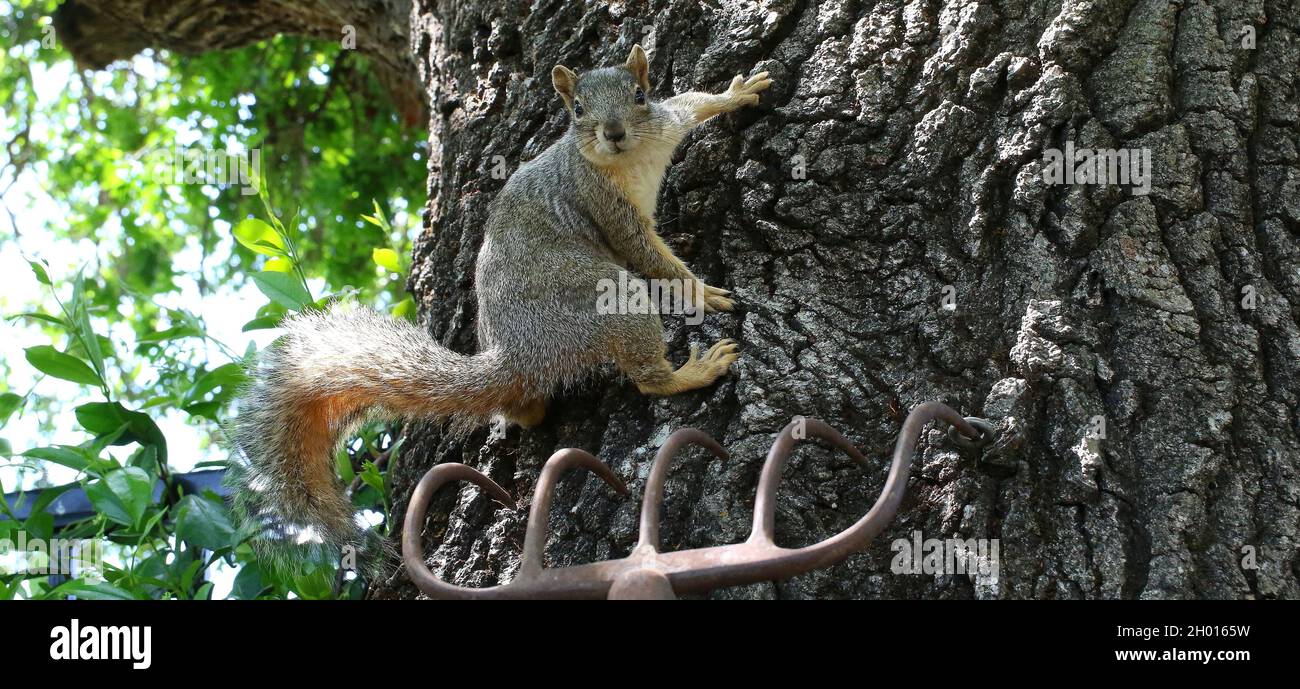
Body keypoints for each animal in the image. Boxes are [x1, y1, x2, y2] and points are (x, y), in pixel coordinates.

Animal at [228, 45, 773, 568]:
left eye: (639, 95)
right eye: (577, 109)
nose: (613, 132)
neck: (630, 159)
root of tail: (515, 355)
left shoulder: (664, 124)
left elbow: (692, 104)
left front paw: (737, 92)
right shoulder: (605, 206)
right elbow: (652, 259)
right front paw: (702, 293)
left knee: (526, 408)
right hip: (608, 299)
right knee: (646, 377)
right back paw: (691, 372)